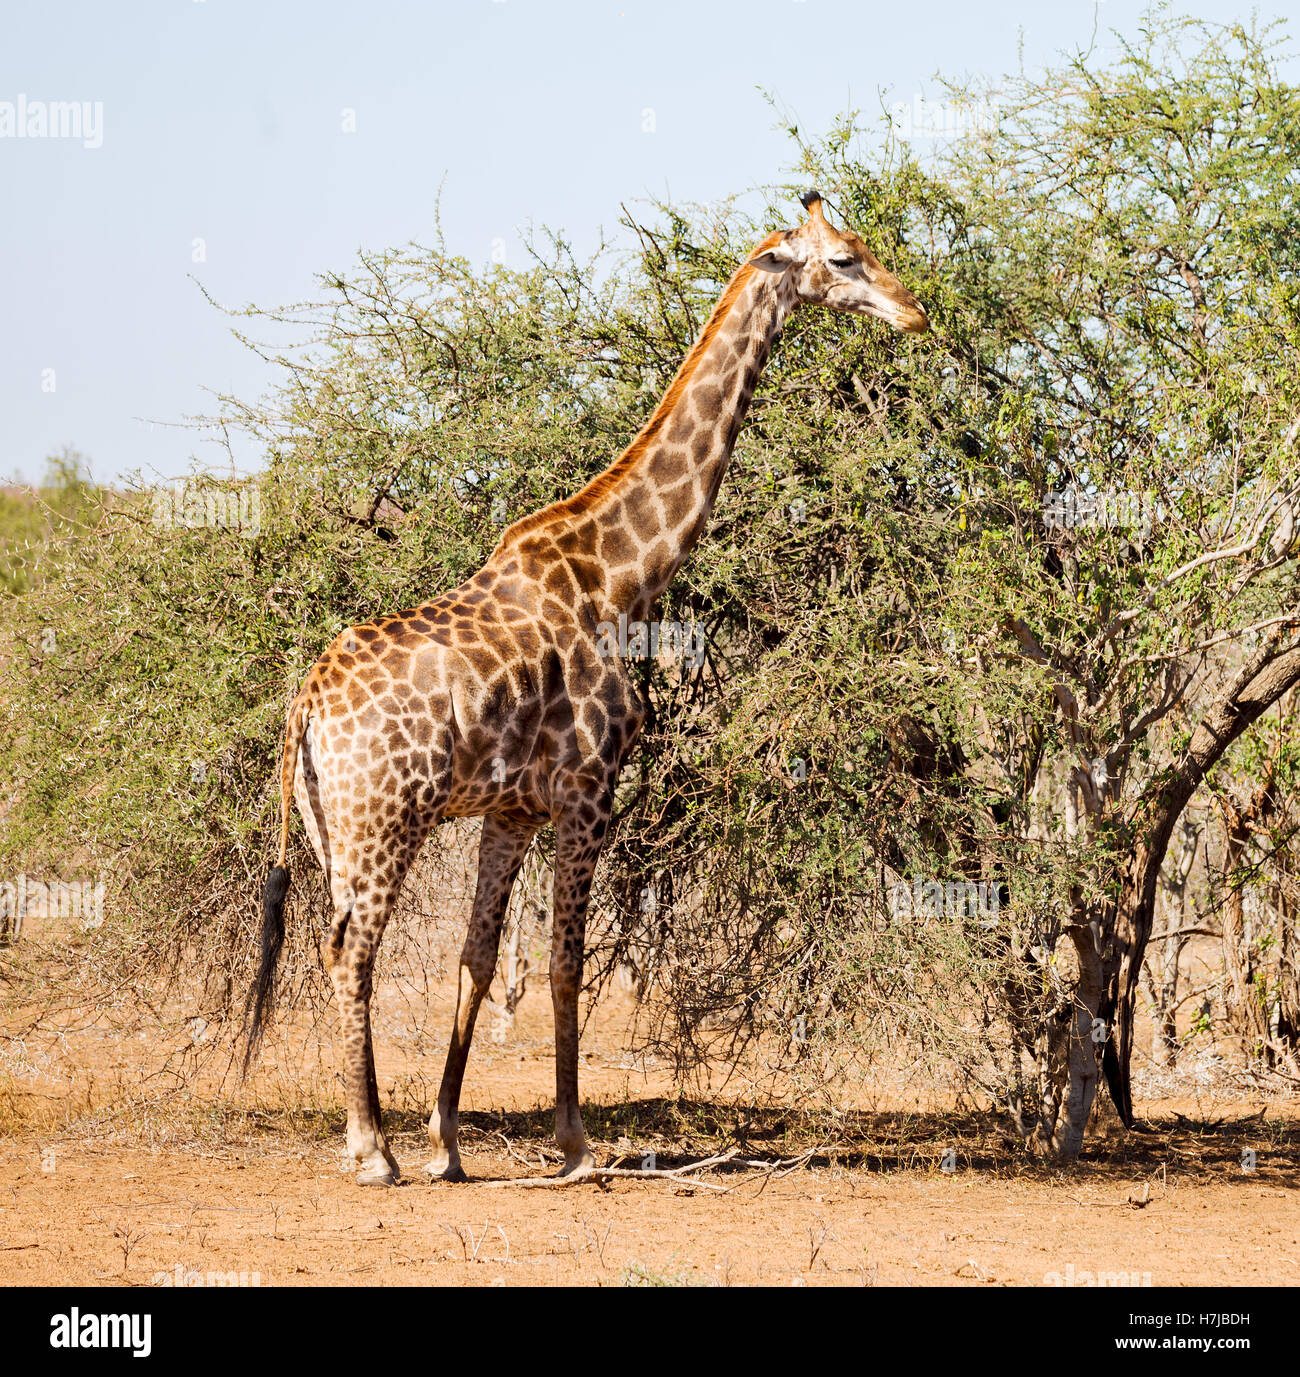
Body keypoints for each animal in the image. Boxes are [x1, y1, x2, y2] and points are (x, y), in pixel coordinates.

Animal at [247, 190, 927, 1186]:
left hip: (332, 826)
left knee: (344, 945)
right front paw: (572, 1140)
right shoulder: (589, 790)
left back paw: (379, 1140)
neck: (623, 572)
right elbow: (567, 964)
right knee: (348, 949)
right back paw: (370, 1150)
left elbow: (477, 959)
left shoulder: (512, 809)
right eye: (843, 259)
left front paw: (449, 1140)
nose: (912, 311)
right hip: (385, 818)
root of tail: (307, 701)